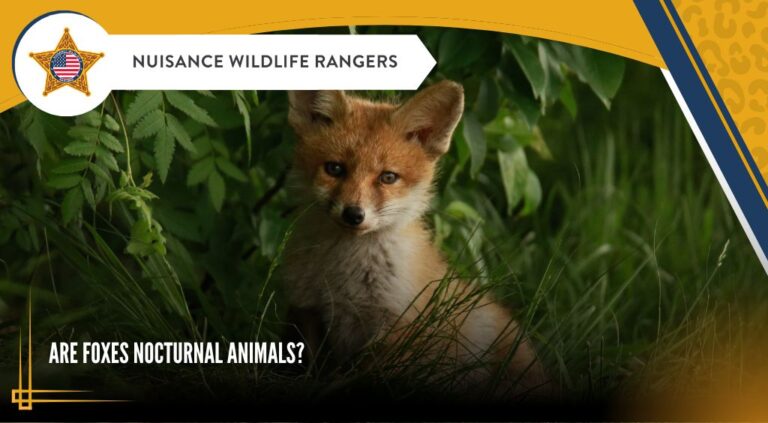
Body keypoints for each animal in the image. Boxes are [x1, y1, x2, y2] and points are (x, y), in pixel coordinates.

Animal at [281, 81, 548, 398]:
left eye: (388, 177)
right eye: (334, 169)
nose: (354, 214)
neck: (342, 276)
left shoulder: (397, 328)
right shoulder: (306, 309)